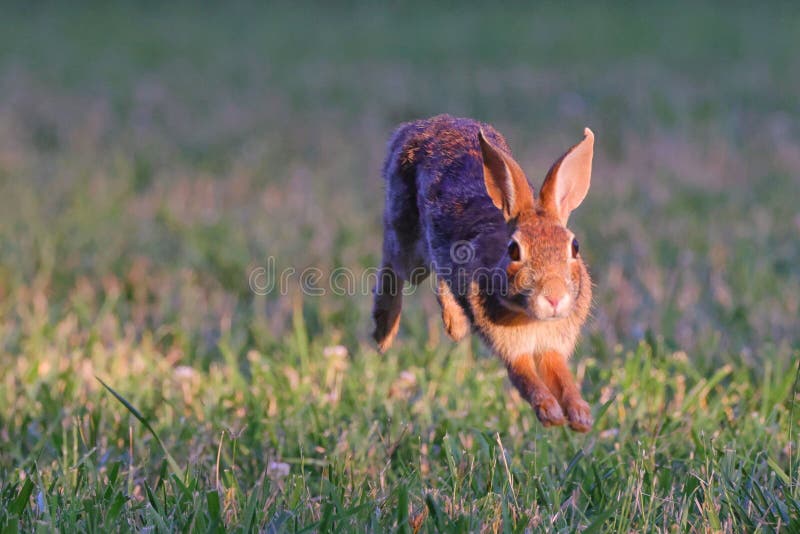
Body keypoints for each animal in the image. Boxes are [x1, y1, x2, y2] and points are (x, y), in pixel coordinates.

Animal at [372, 115, 595, 432]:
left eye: (574, 247)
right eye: (514, 250)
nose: (553, 297)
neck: (531, 317)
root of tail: (418, 126)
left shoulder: (552, 345)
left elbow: (562, 378)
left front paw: (580, 417)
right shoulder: (513, 348)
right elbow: (526, 378)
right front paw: (550, 413)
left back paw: (454, 326)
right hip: (409, 246)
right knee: (393, 262)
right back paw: (384, 332)